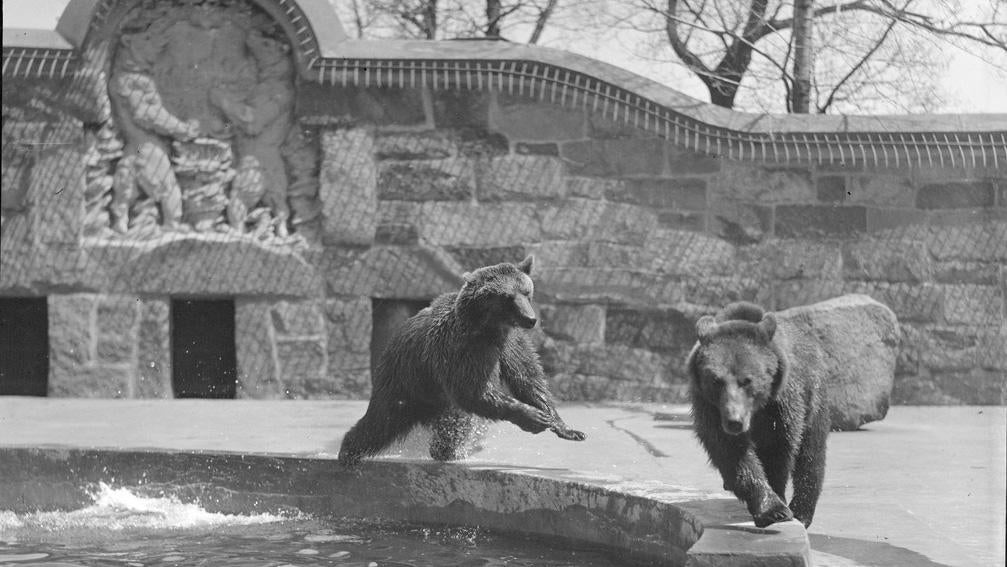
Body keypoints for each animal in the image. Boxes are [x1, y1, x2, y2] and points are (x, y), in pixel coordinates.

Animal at [337, 256, 585, 466]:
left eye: (527, 292)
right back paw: (348, 452)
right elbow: (473, 390)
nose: (531, 318)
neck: (491, 327)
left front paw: (565, 426)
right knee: (382, 420)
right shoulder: (462, 348)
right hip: (405, 382)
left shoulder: (511, 343)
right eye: (508, 297)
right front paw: (532, 417)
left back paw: (447, 451)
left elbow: (528, 378)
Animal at [687, 301, 830, 528]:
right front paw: (772, 509)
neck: (755, 412)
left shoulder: (780, 405)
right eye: (716, 380)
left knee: (811, 452)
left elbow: (777, 448)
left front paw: (779, 503)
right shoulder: (710, 409)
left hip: (814, 397)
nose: (734, 421)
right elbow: (731, 452)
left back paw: (802, 511)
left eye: (747, 380)